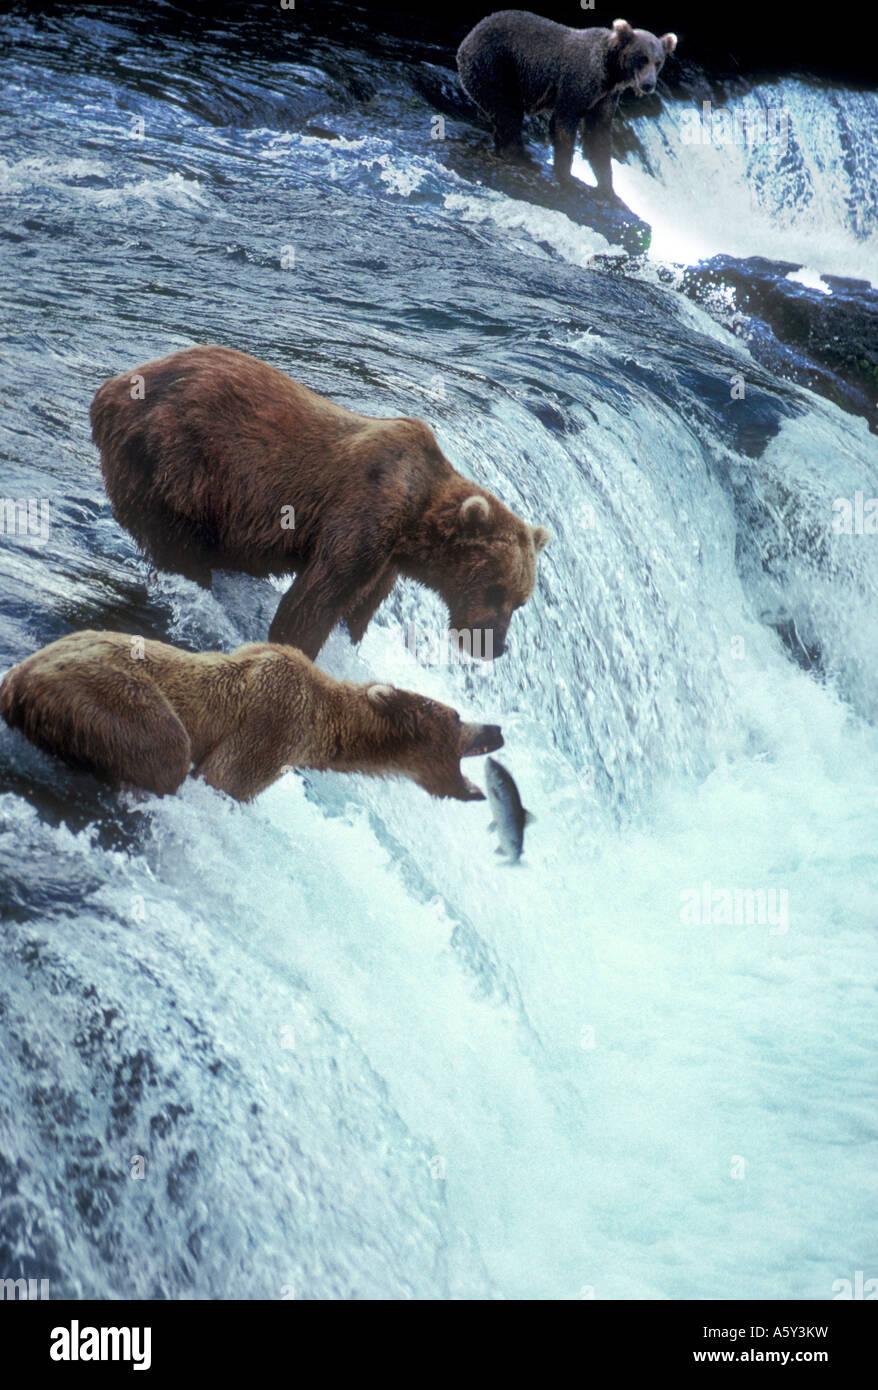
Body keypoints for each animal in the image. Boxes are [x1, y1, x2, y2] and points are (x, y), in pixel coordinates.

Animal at [0, 631, 504, 803]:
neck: (323, 724)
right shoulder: (272, 725)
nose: (498, 728)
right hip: (104, 693)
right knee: (169, 748)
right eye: (457, 715)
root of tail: (16, 682)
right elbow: (226, 778)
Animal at [90, 346, 551, 663]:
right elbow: (315, 599)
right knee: (178, 544)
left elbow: (358, 609)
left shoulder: (386, 562)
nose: (495, 644)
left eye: (519, 601)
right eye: (495, 589)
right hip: (176, 459)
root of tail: (110, 388)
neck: (414, 522)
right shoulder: (364, 511)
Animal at [457, 13, 677, 196]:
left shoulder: (605, 97)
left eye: (658, 62)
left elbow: (598, 134)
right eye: (642, 58)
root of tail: (467, 40)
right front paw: (567, 177)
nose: (648, 85)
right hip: (496, 67)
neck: (611, 71)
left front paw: (608, 189)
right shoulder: (579, 79)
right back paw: (522, 157)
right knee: (508, 112)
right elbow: (564, 122)